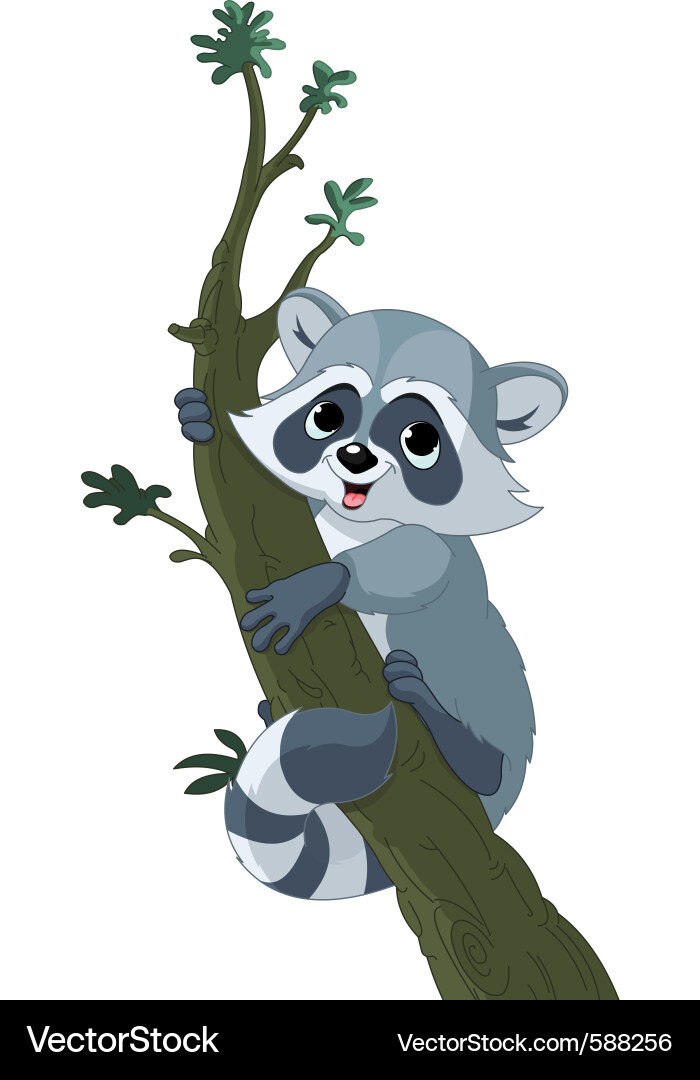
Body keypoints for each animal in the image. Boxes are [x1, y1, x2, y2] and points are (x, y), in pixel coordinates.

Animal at [175, 287, 567, 900]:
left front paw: (324, 582)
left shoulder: (440, 551)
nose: (354, 458)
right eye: (327, 415)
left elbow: (420, 564)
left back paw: (467, 749)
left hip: (485, 681)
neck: (356, 517)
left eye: (419, 438)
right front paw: (200, 422)